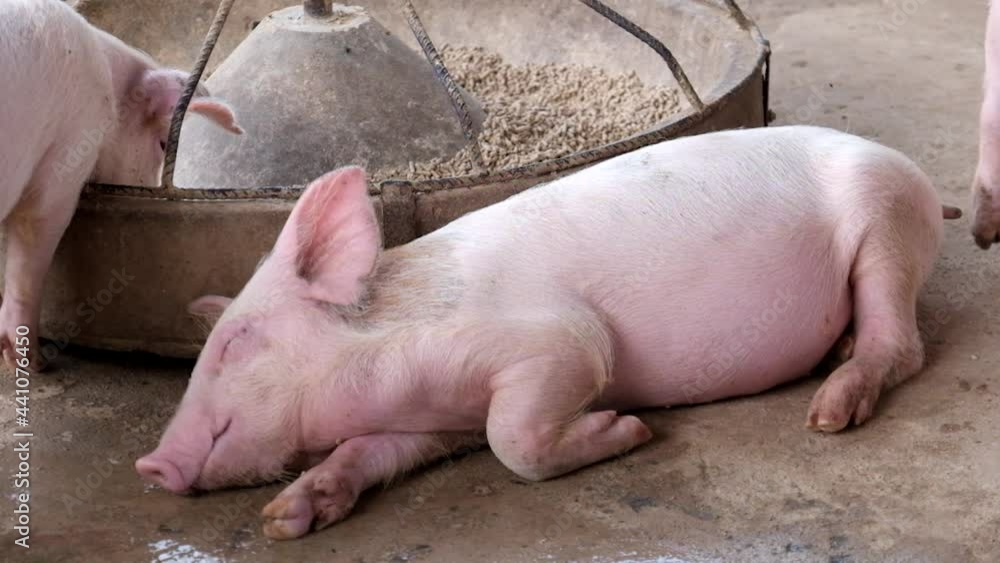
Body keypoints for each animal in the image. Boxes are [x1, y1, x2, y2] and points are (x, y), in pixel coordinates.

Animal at [137, 126, 946, 540]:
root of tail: (911, 170)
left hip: (884, 218)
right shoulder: (433, 424)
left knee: (901, 341)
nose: (151, 464)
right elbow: (371, 452)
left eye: (236, 342)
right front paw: (288, 516)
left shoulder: (558, 342)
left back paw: (830, 410)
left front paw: (625, 428)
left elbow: (517, 439)